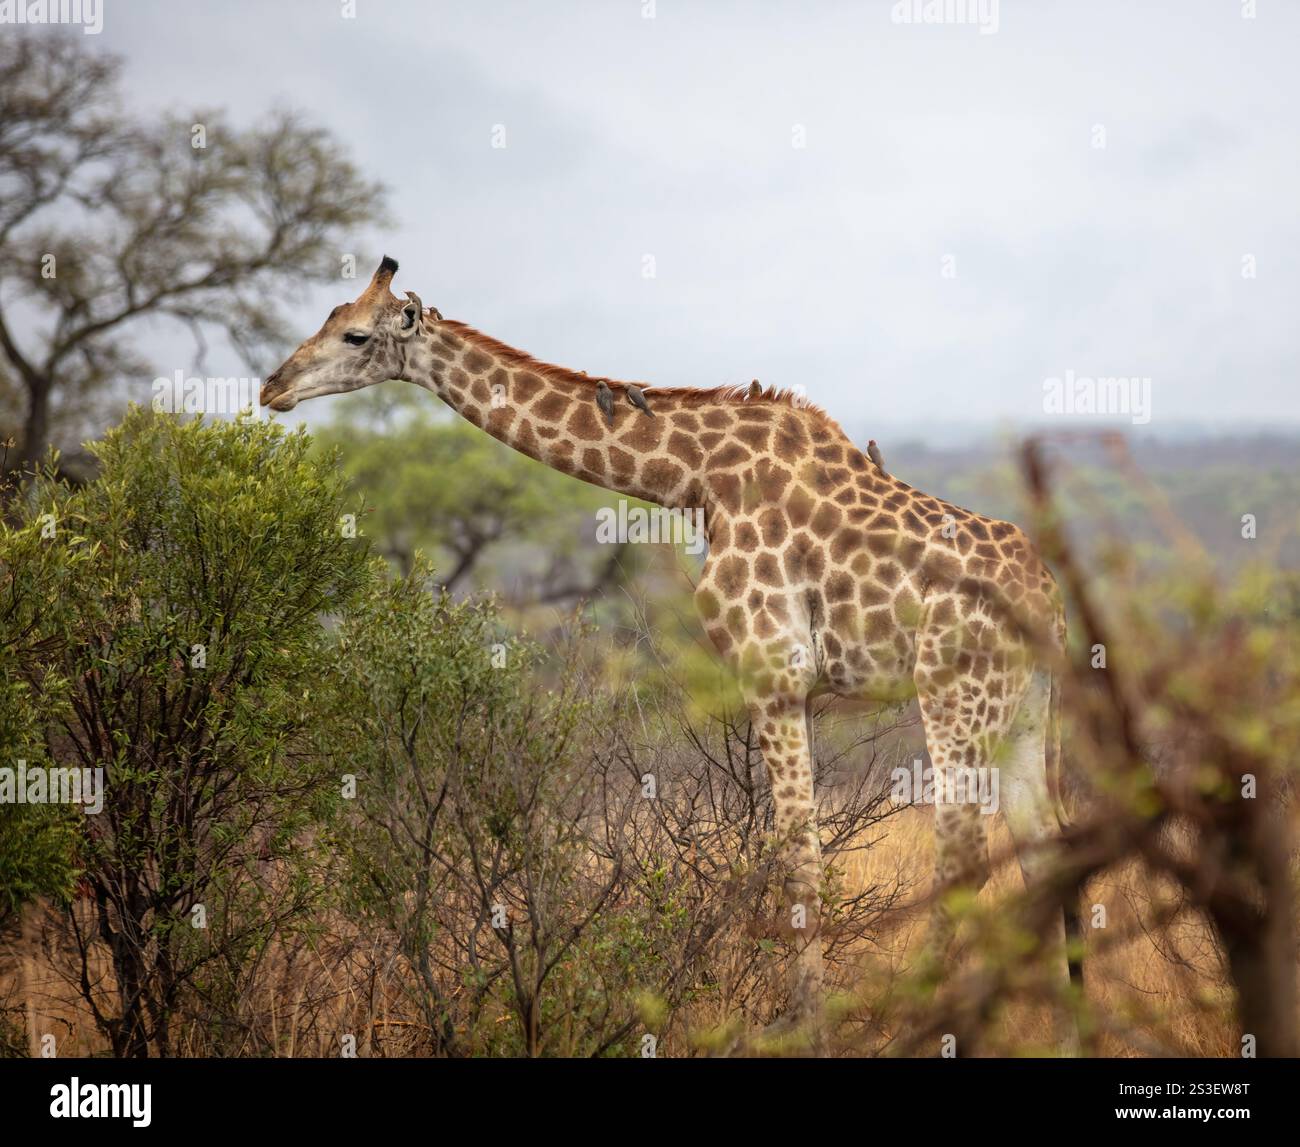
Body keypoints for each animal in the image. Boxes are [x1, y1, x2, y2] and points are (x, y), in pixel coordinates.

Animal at [261, 258, 1081, 1054]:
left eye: (356, 336)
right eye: (330, 316)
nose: (273, 386)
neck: (695, 478)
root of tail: (1048, 597)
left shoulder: (773, 673)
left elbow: (802, 866)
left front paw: (811, 1032)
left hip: (953, 696)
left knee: (963, 854)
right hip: (1022, 708)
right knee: (1047, 843)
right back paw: (1070, 1025)